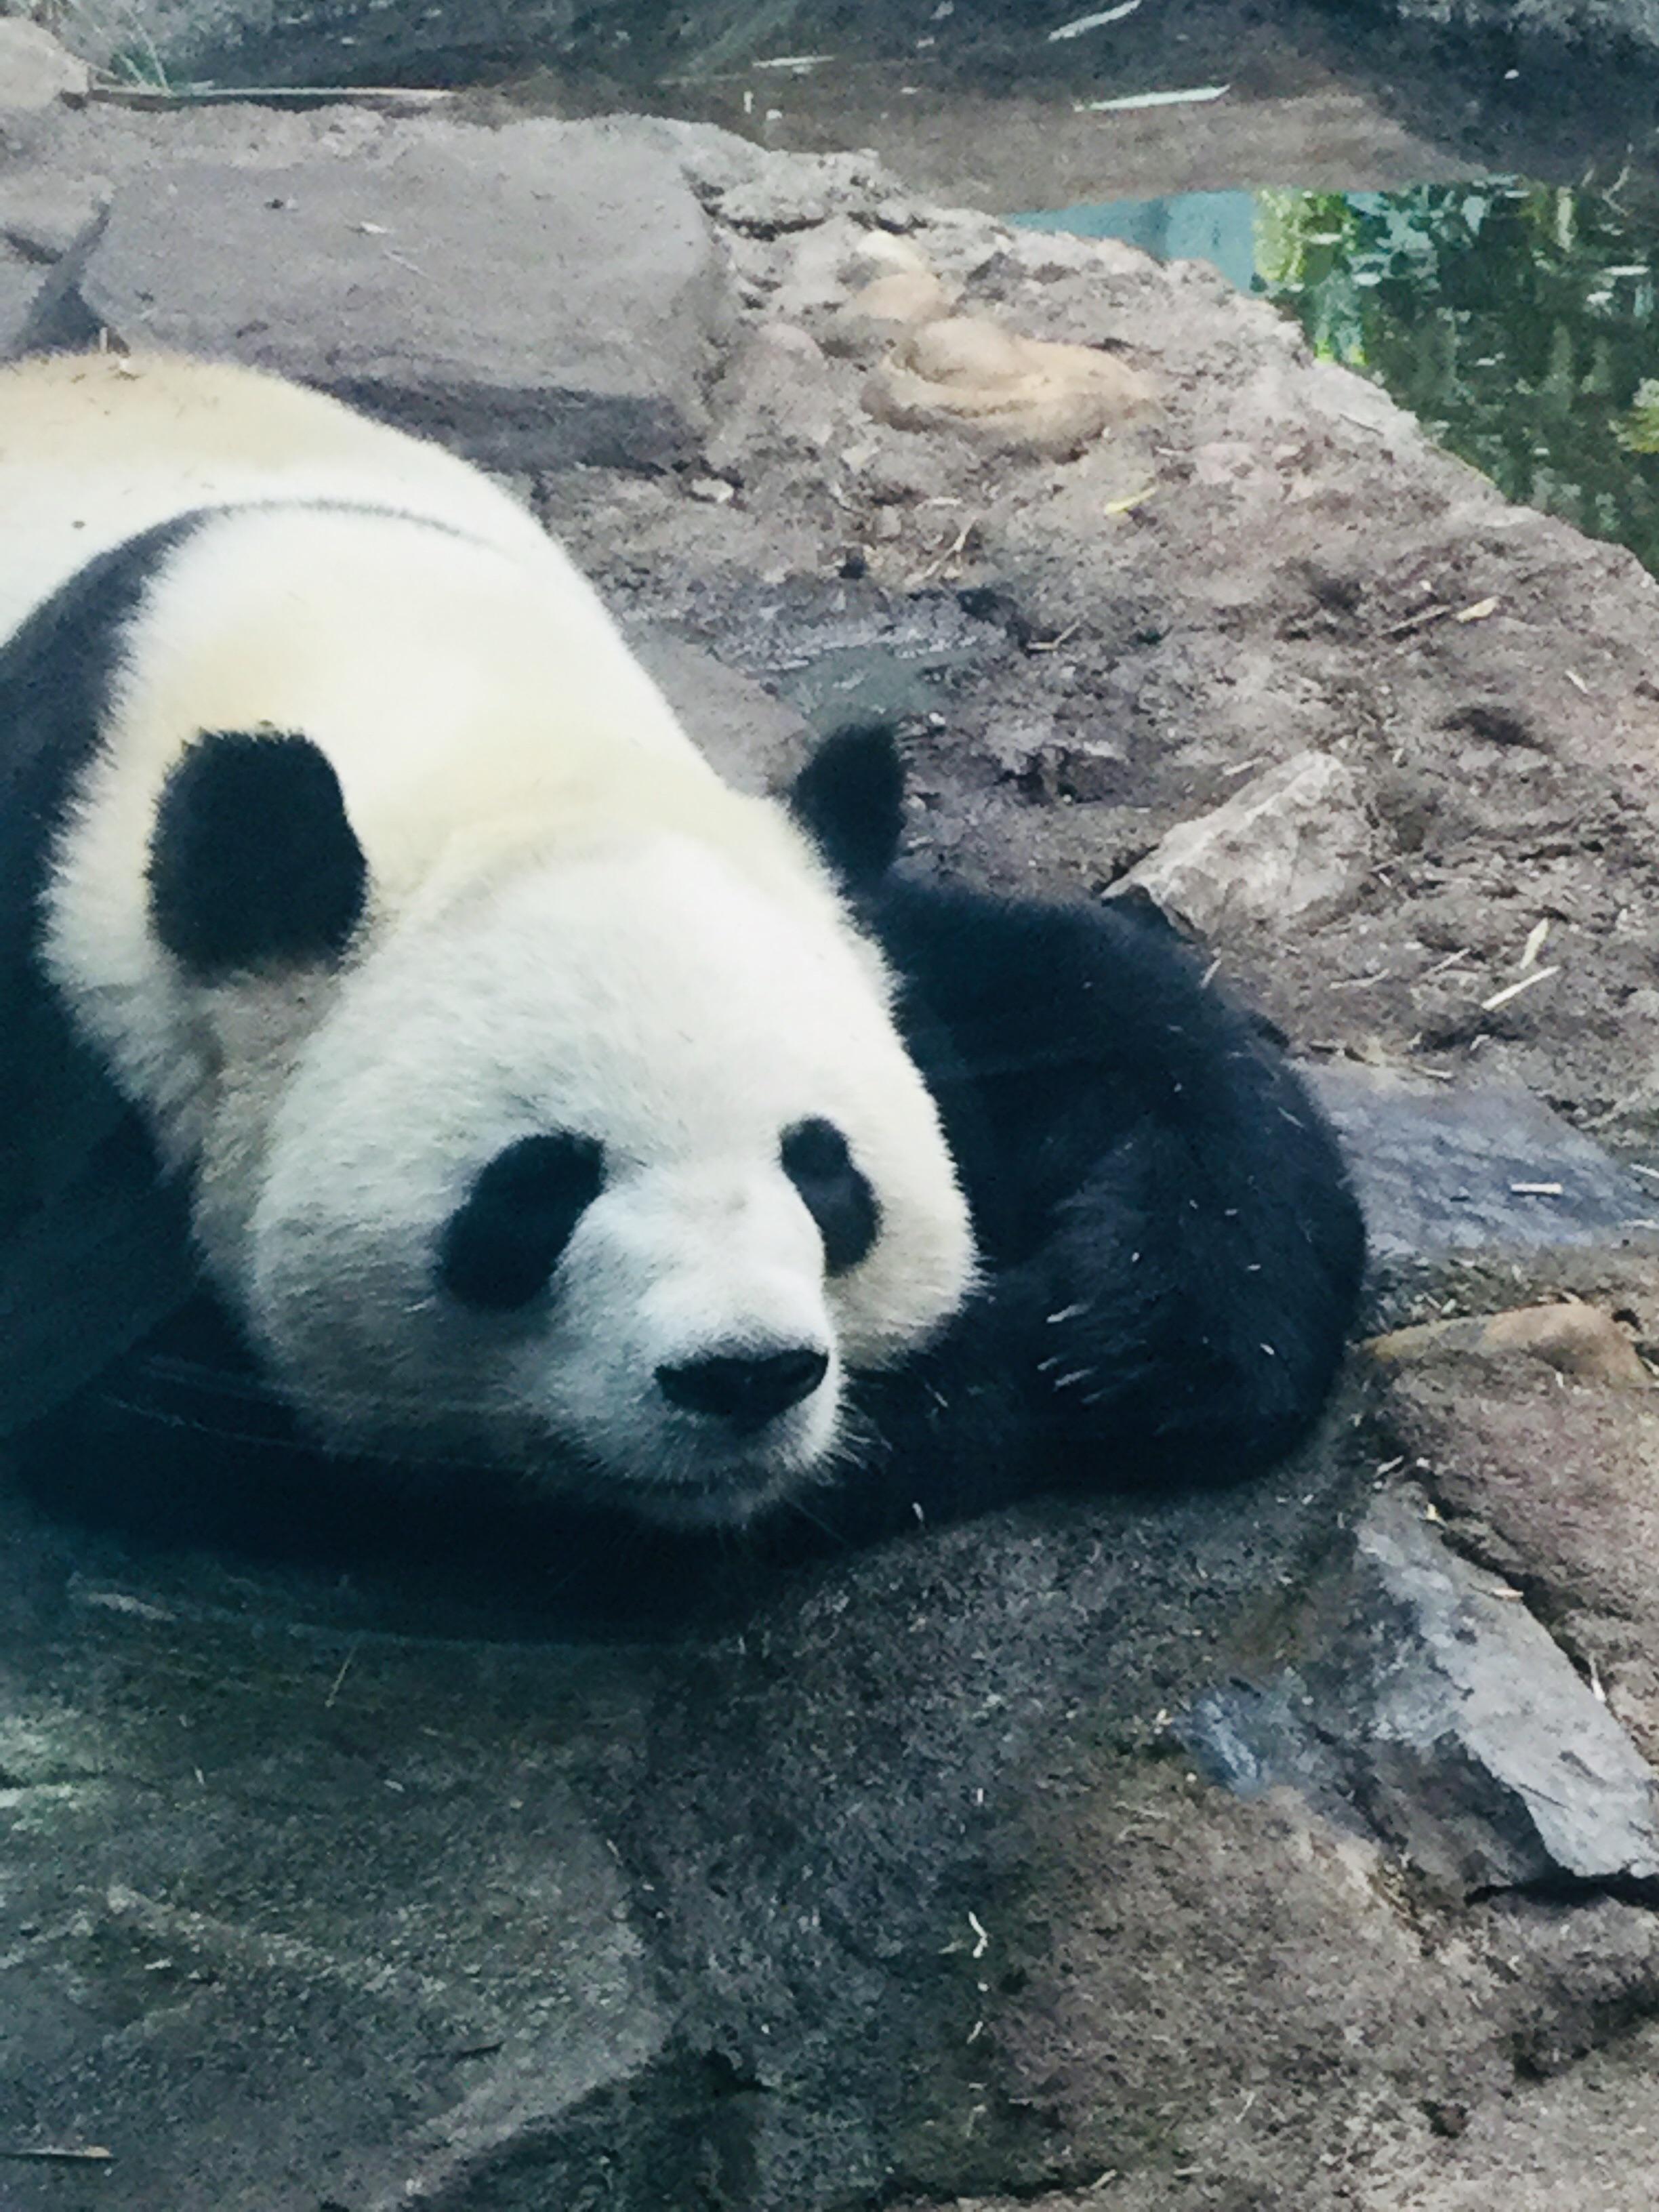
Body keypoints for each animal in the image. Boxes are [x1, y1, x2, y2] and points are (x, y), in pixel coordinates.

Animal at [0, 350, 1365, 1559]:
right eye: (535, 1187)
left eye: (825, 1170)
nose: (744, 1373)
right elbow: (165, 1400)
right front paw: (1003, 1367)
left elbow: (1113, 1011)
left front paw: (1141, 1329)